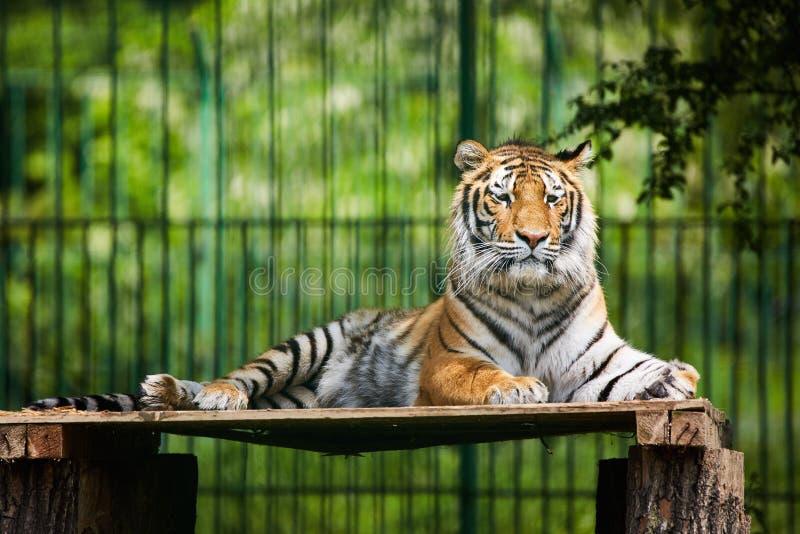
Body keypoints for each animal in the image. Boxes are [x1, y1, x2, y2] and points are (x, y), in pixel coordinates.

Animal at [29, 139, 698, 412]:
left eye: (554, 200)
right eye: (505, 198)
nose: (534, 238)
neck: (531, 294)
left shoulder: (599, 360)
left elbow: (646, 374)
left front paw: (673, 378)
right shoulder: (447, 363)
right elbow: (483, 374)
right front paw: (516, 388)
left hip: (295, 398)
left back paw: (171, 393)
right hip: (303, 347)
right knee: (239, 378)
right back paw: (198, 393)